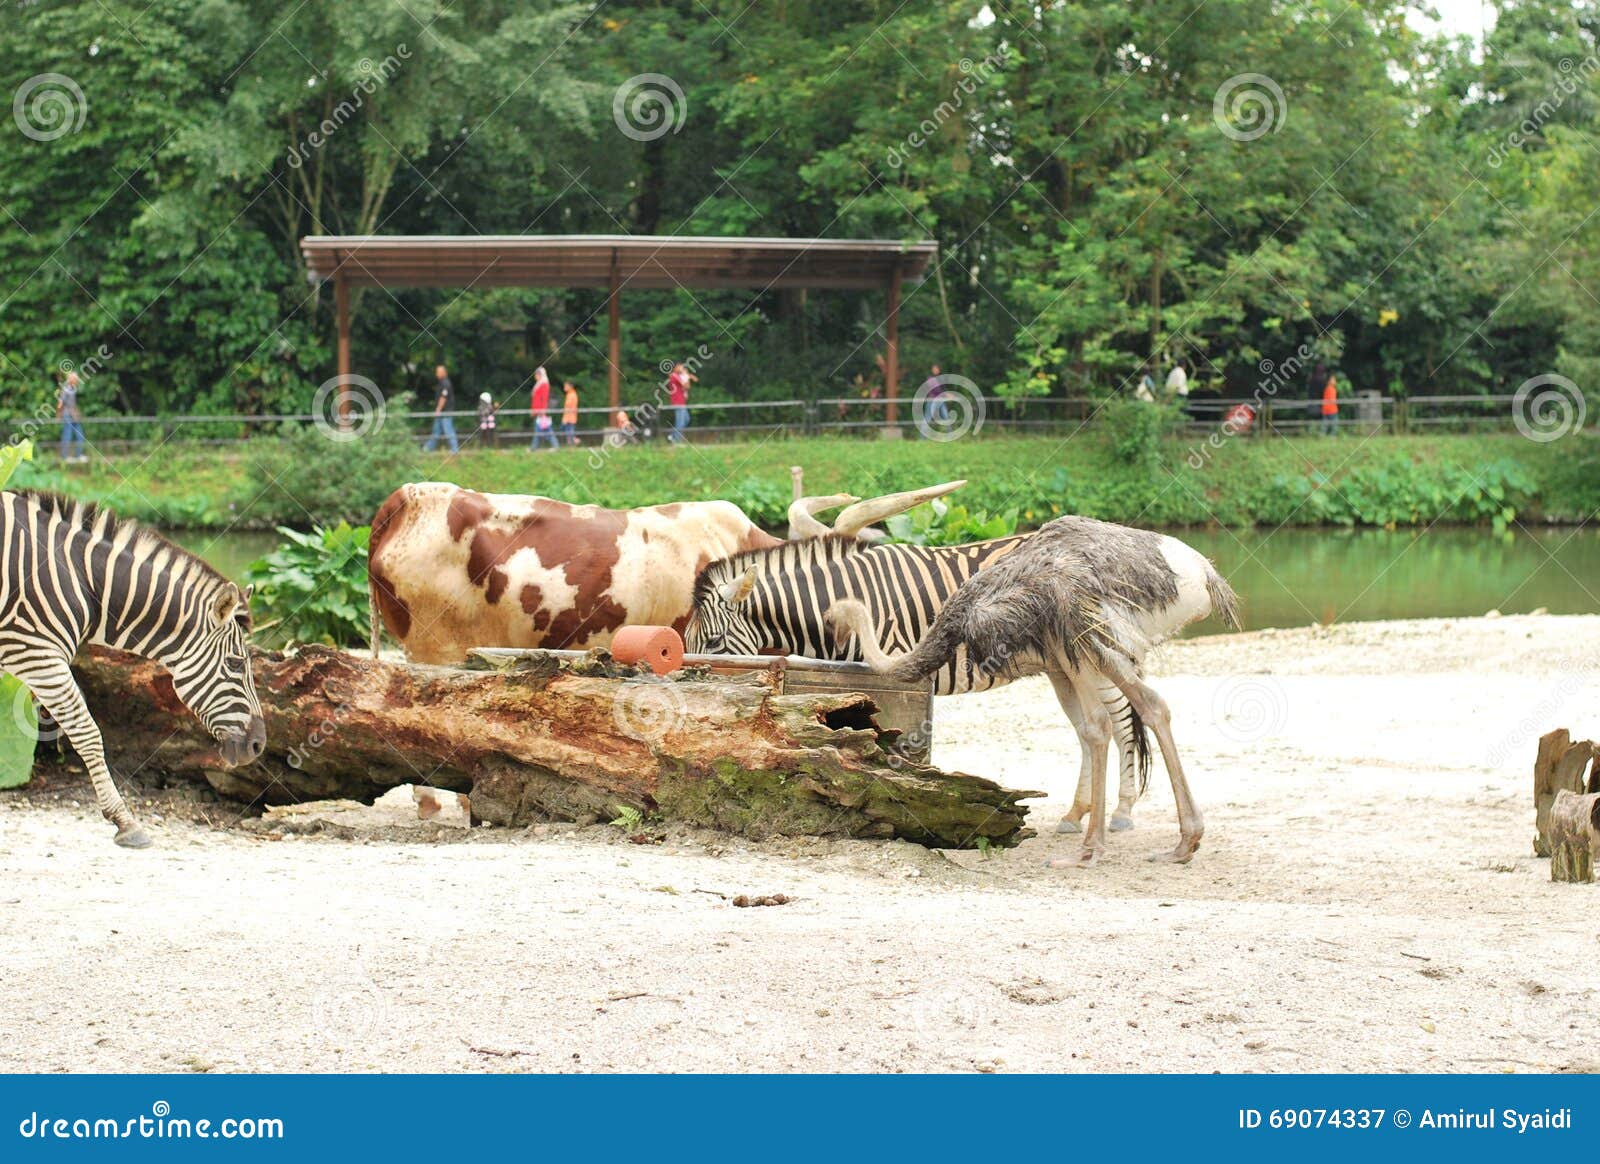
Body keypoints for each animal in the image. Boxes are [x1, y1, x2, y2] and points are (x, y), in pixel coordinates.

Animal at [0, 491, 267, 848]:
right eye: (236, 664)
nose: (258, 745)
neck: (83, 582)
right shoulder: (38, 654)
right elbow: (88, 733)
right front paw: (124, 821)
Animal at [686, 532, 1156, 831]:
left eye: (714, 642)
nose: (698, 688)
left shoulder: (894, 670)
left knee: (1120, 720)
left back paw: (1123, 812)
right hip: (1064, 664)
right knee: (1089, 730)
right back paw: (1077, 813)